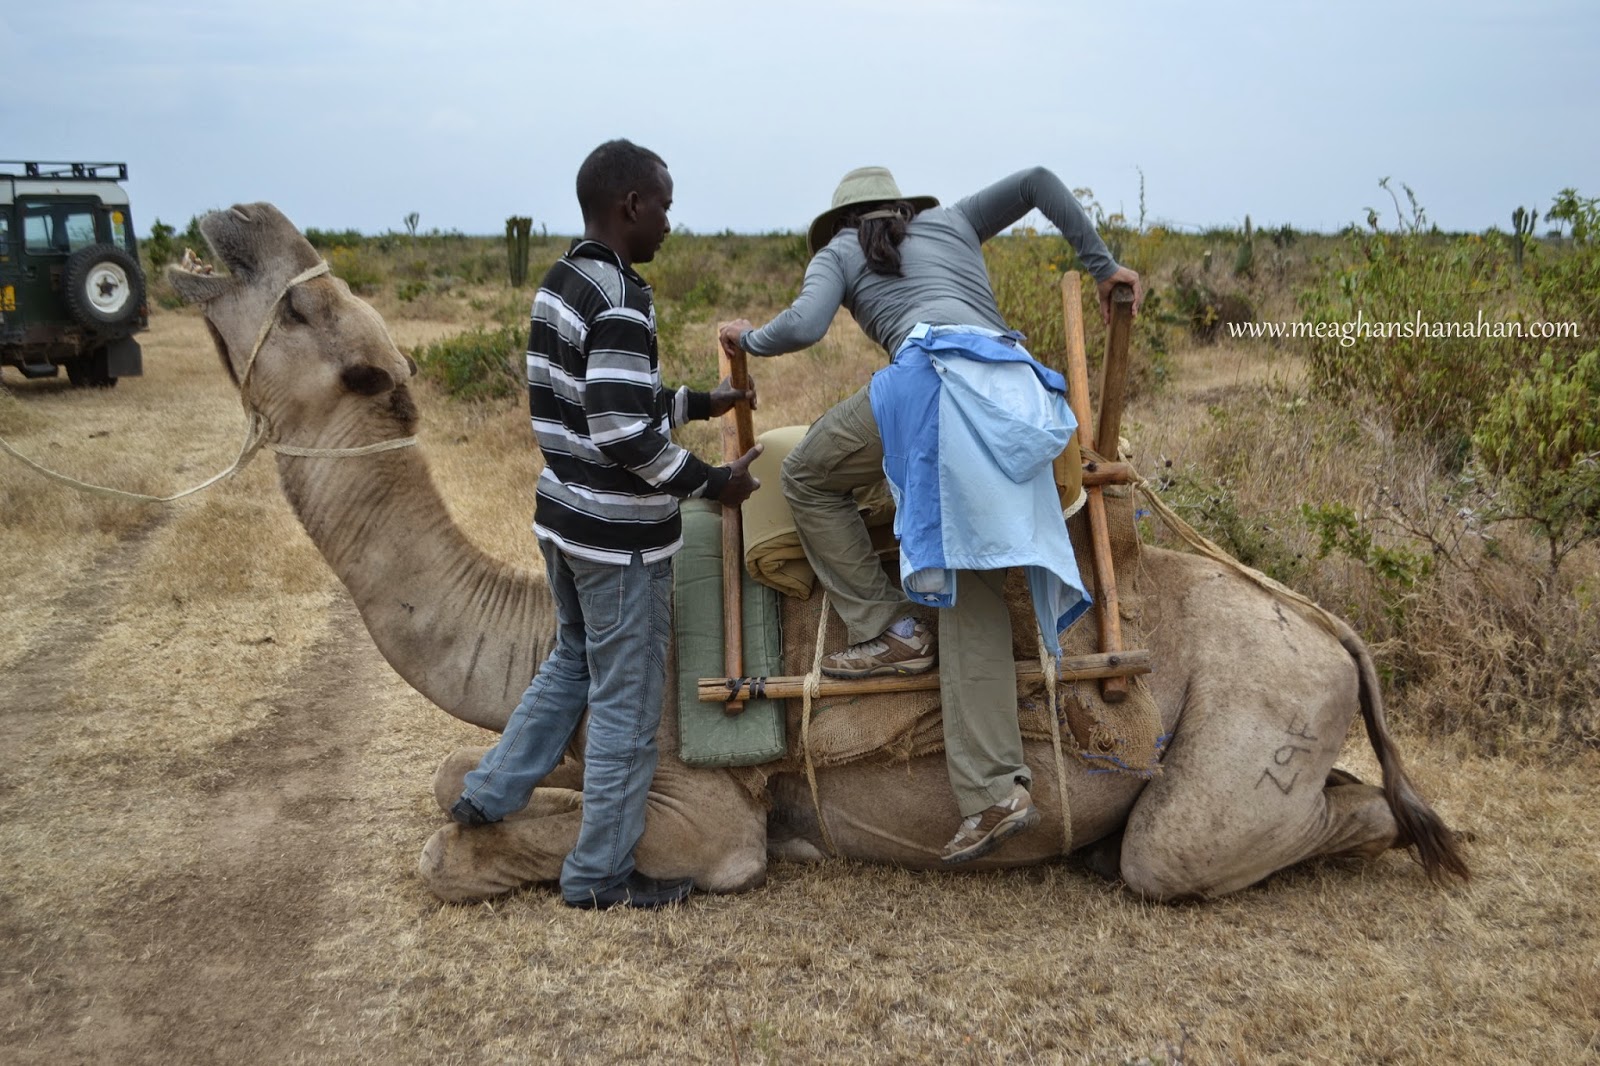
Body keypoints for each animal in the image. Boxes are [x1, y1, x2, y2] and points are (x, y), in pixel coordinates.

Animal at [169, 203, 1468, 904]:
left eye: (305, 313)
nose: (238, 221)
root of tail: (1325, 625)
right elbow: (453, 777)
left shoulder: (708, 818)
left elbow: (458, 842)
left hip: (1253, 707)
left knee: (1189, 846)